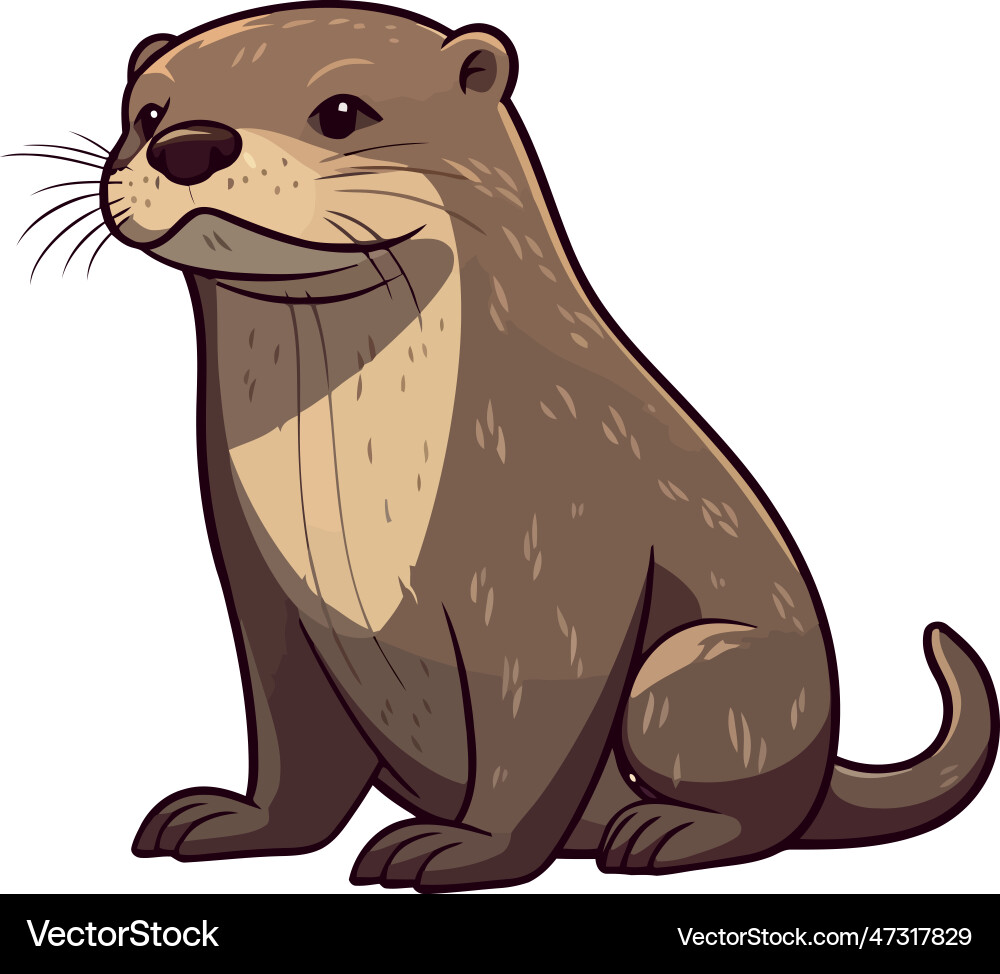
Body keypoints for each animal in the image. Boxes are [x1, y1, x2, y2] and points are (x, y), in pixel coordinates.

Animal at [48, 2, 995, 891]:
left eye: (343, 111)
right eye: (148, 110)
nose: (189, 145)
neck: (356, 466)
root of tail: (830, 749)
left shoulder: (552, 562)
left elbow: (529, 742)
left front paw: (466, 851)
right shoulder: (261, 578)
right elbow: (294, 744)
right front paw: (236, 824)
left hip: (697, 675)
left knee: (765, 804)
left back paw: (664, 832)